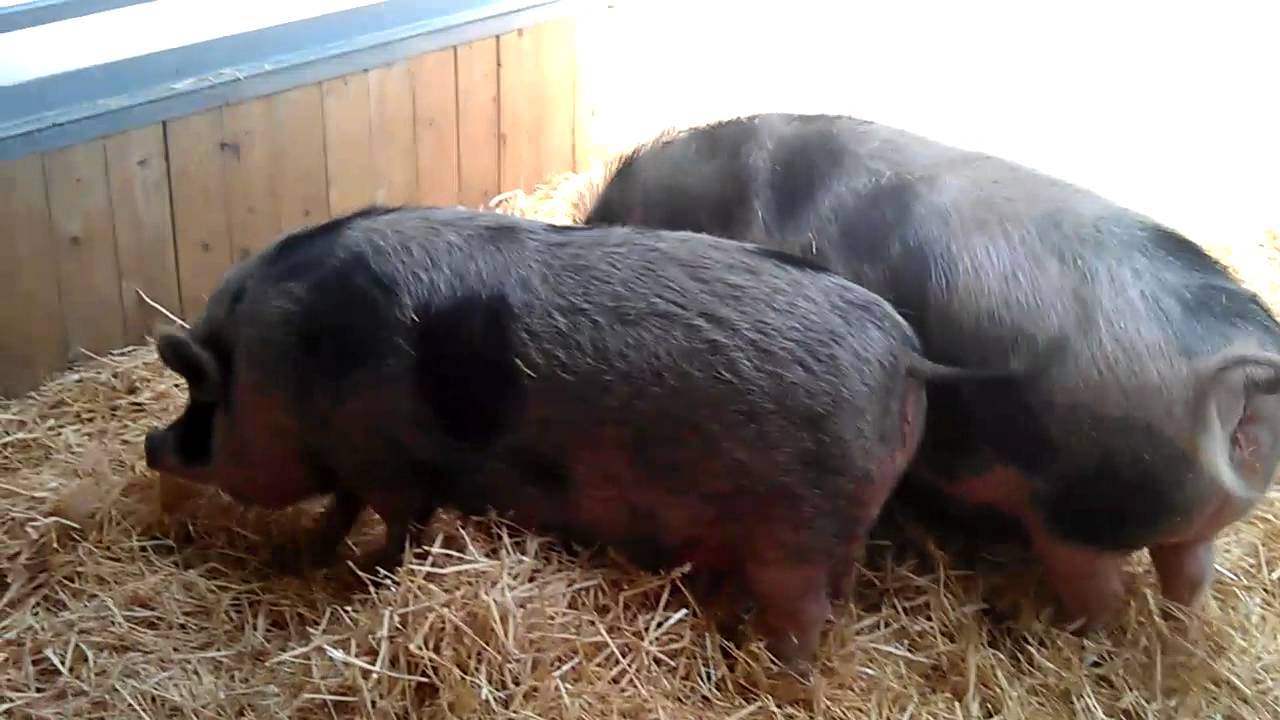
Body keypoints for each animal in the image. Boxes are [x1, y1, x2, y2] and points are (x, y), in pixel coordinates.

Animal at [142, 204, 1040, 668]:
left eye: (201, 396)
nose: (153, 443)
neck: (287, 365)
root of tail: (908, 356)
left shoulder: (392, 463)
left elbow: (396, 526)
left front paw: (365, 573)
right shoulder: (362, 464)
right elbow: (341, 509)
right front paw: (310, 552)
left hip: (798, 532)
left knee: (803, 618)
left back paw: (766, 677)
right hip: (844, 516)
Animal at [582, 113, 1280, 629]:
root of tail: (1245, 377)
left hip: (1081, 517)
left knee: (1103, 598)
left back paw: (1055, 632)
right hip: (1182, 523)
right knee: (1190, 578)